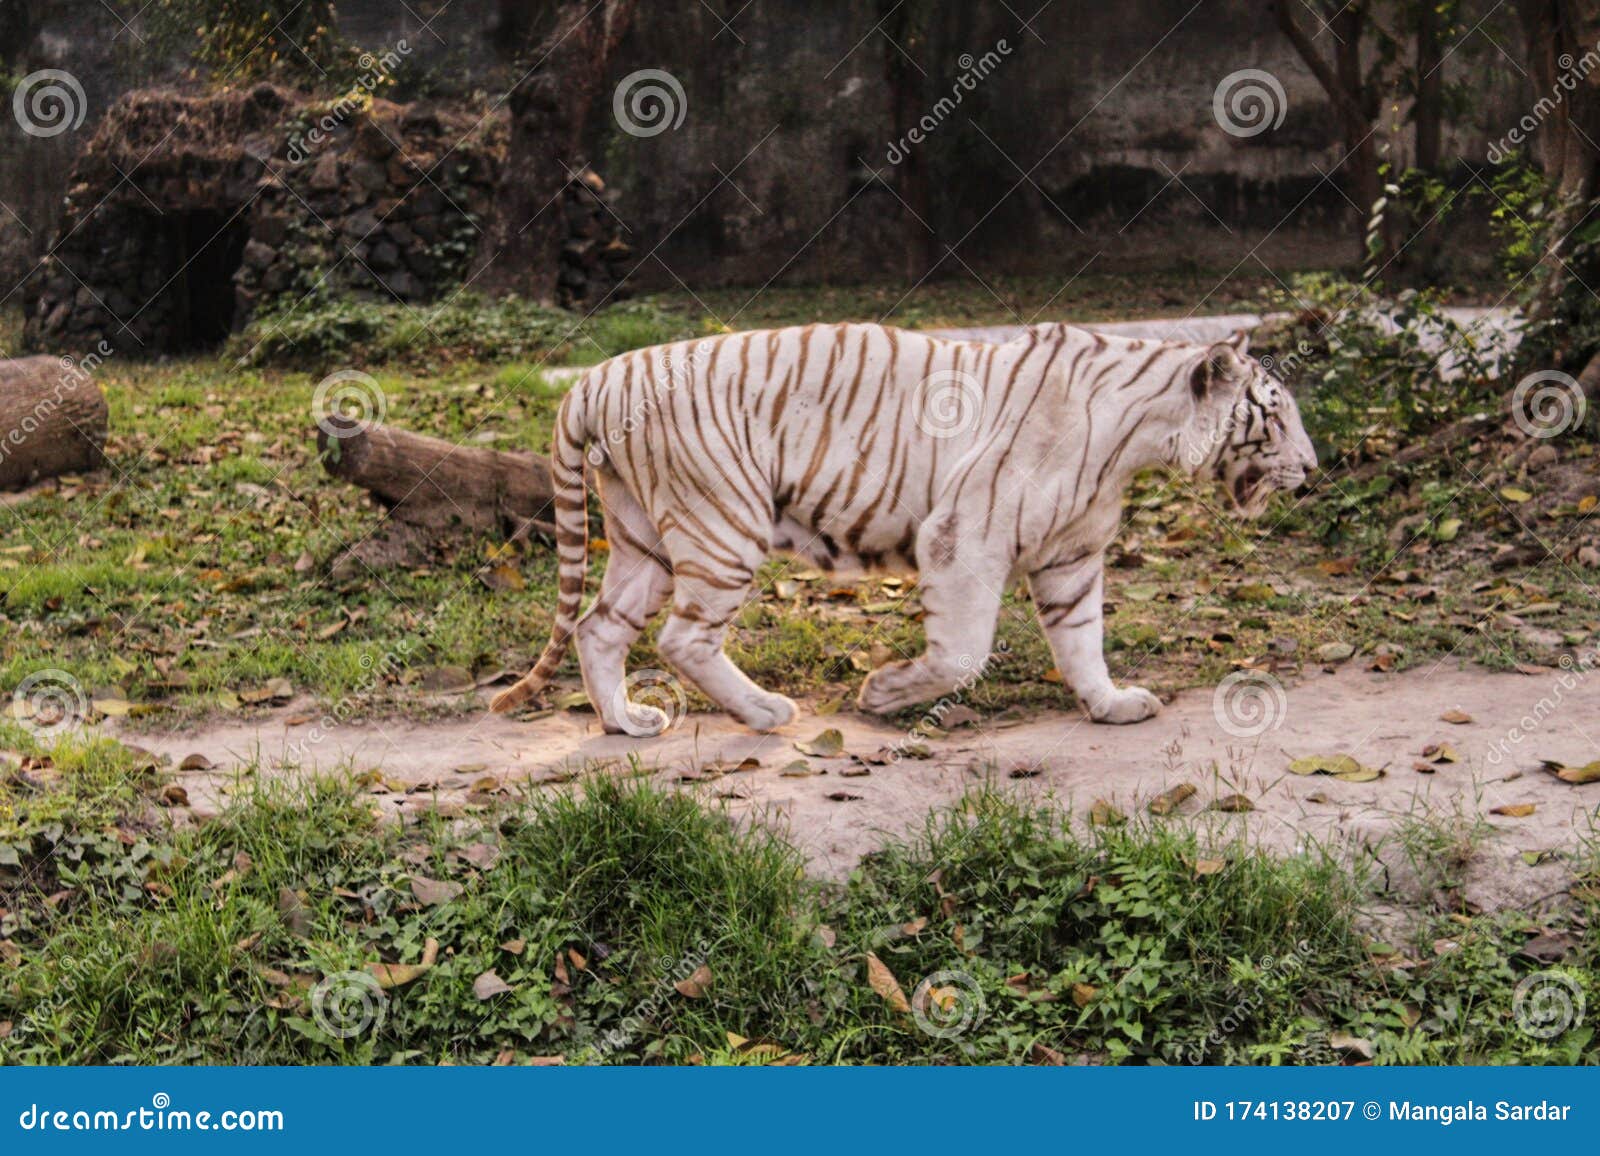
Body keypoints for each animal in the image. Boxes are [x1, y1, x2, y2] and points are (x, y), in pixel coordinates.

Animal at [489, 321, 1318, 735]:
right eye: (1274, 415)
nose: (1312, 470)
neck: (1139, 437)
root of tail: (593, 379)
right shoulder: (967, 533)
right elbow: (962, 653)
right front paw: (884, 694)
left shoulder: (1073, 553)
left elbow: (1083, 640)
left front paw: (1112, 705)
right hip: (723, 523)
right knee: (682, 639)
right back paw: (765, 713)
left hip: (645, 539)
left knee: (600, 627)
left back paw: (627, 722)